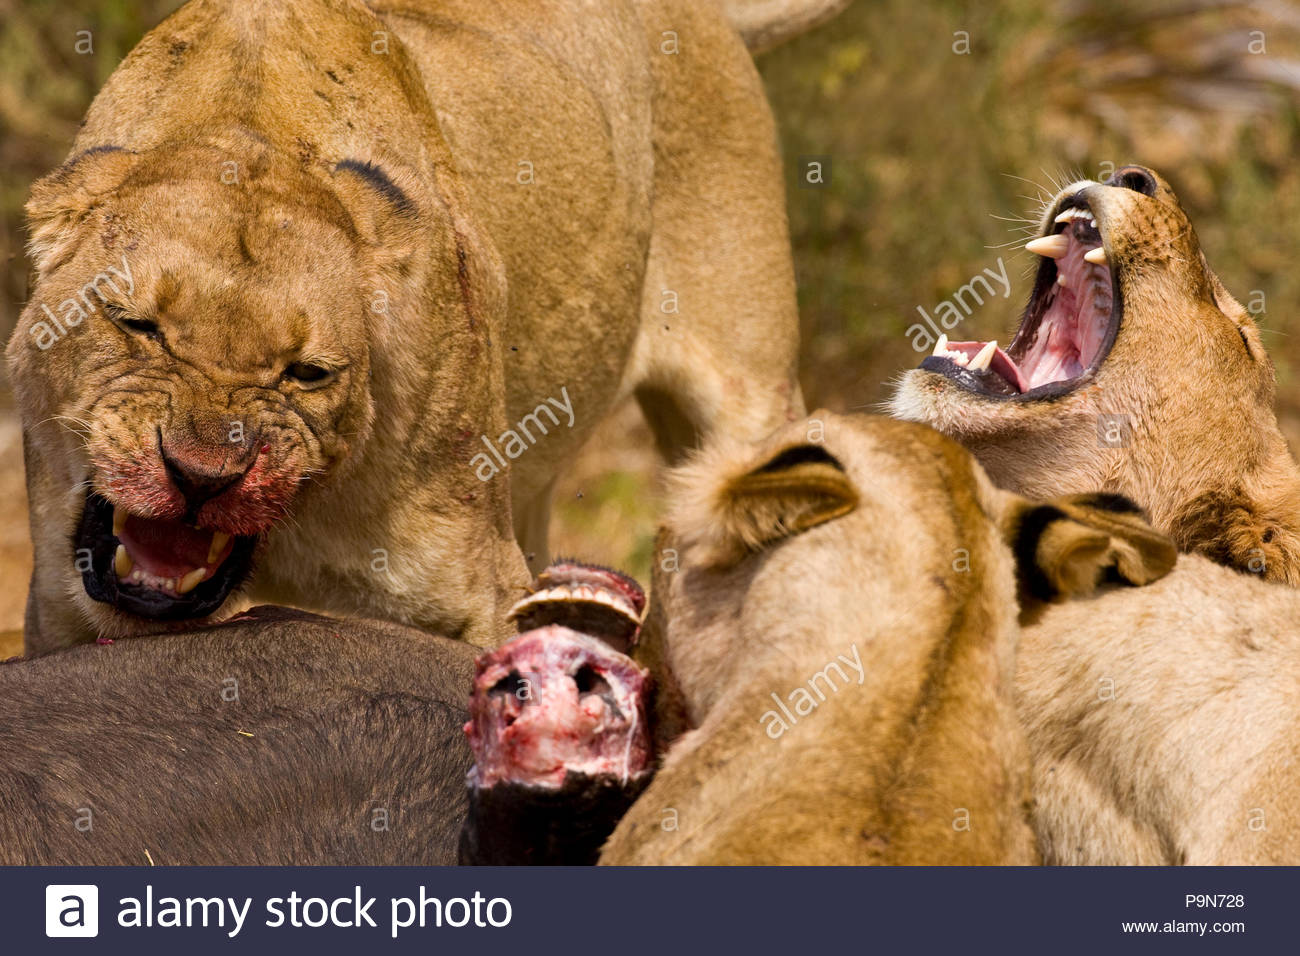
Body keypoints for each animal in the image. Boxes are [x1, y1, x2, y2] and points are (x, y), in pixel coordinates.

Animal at [6, 0, 848, 653]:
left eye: (307, 374)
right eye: (136, 324)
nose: (202, 477)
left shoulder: (480, 592)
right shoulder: (57, 617)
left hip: (747, 401)